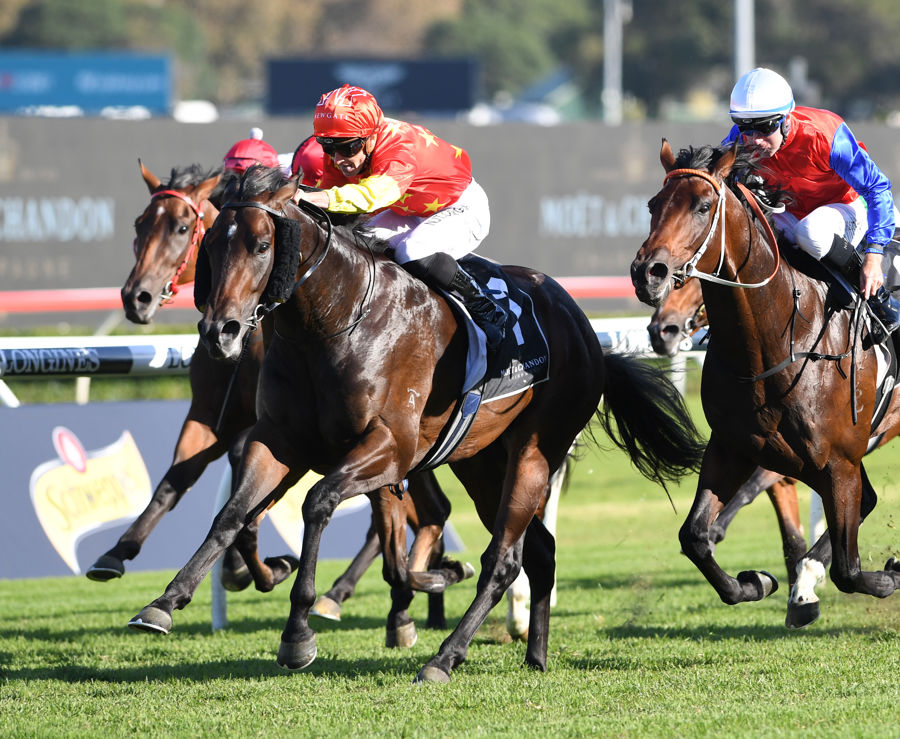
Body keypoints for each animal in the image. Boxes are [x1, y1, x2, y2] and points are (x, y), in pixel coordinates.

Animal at [127, 165, 705, 682]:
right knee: (539, 551)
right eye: (209, 245)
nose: (219, 331)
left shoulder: (391, 446)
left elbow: (319, 503)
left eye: (262, 244)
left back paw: (443, 658)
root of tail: (584, 329)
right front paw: (164, 602)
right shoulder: (278, 440)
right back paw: (535, 656)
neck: (334, 318)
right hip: (482, 460)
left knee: (503, 559)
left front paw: (299, 632)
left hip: (536, 449)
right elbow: (231, 514)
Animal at [631, 140, 900, 627]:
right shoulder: (734, 447)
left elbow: (850, 570)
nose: (648, 273)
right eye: (653, 205)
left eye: (702, 206)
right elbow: (695, 536)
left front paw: (888, 574)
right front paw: (757, 582)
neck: (776, 342)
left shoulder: (839, 462)